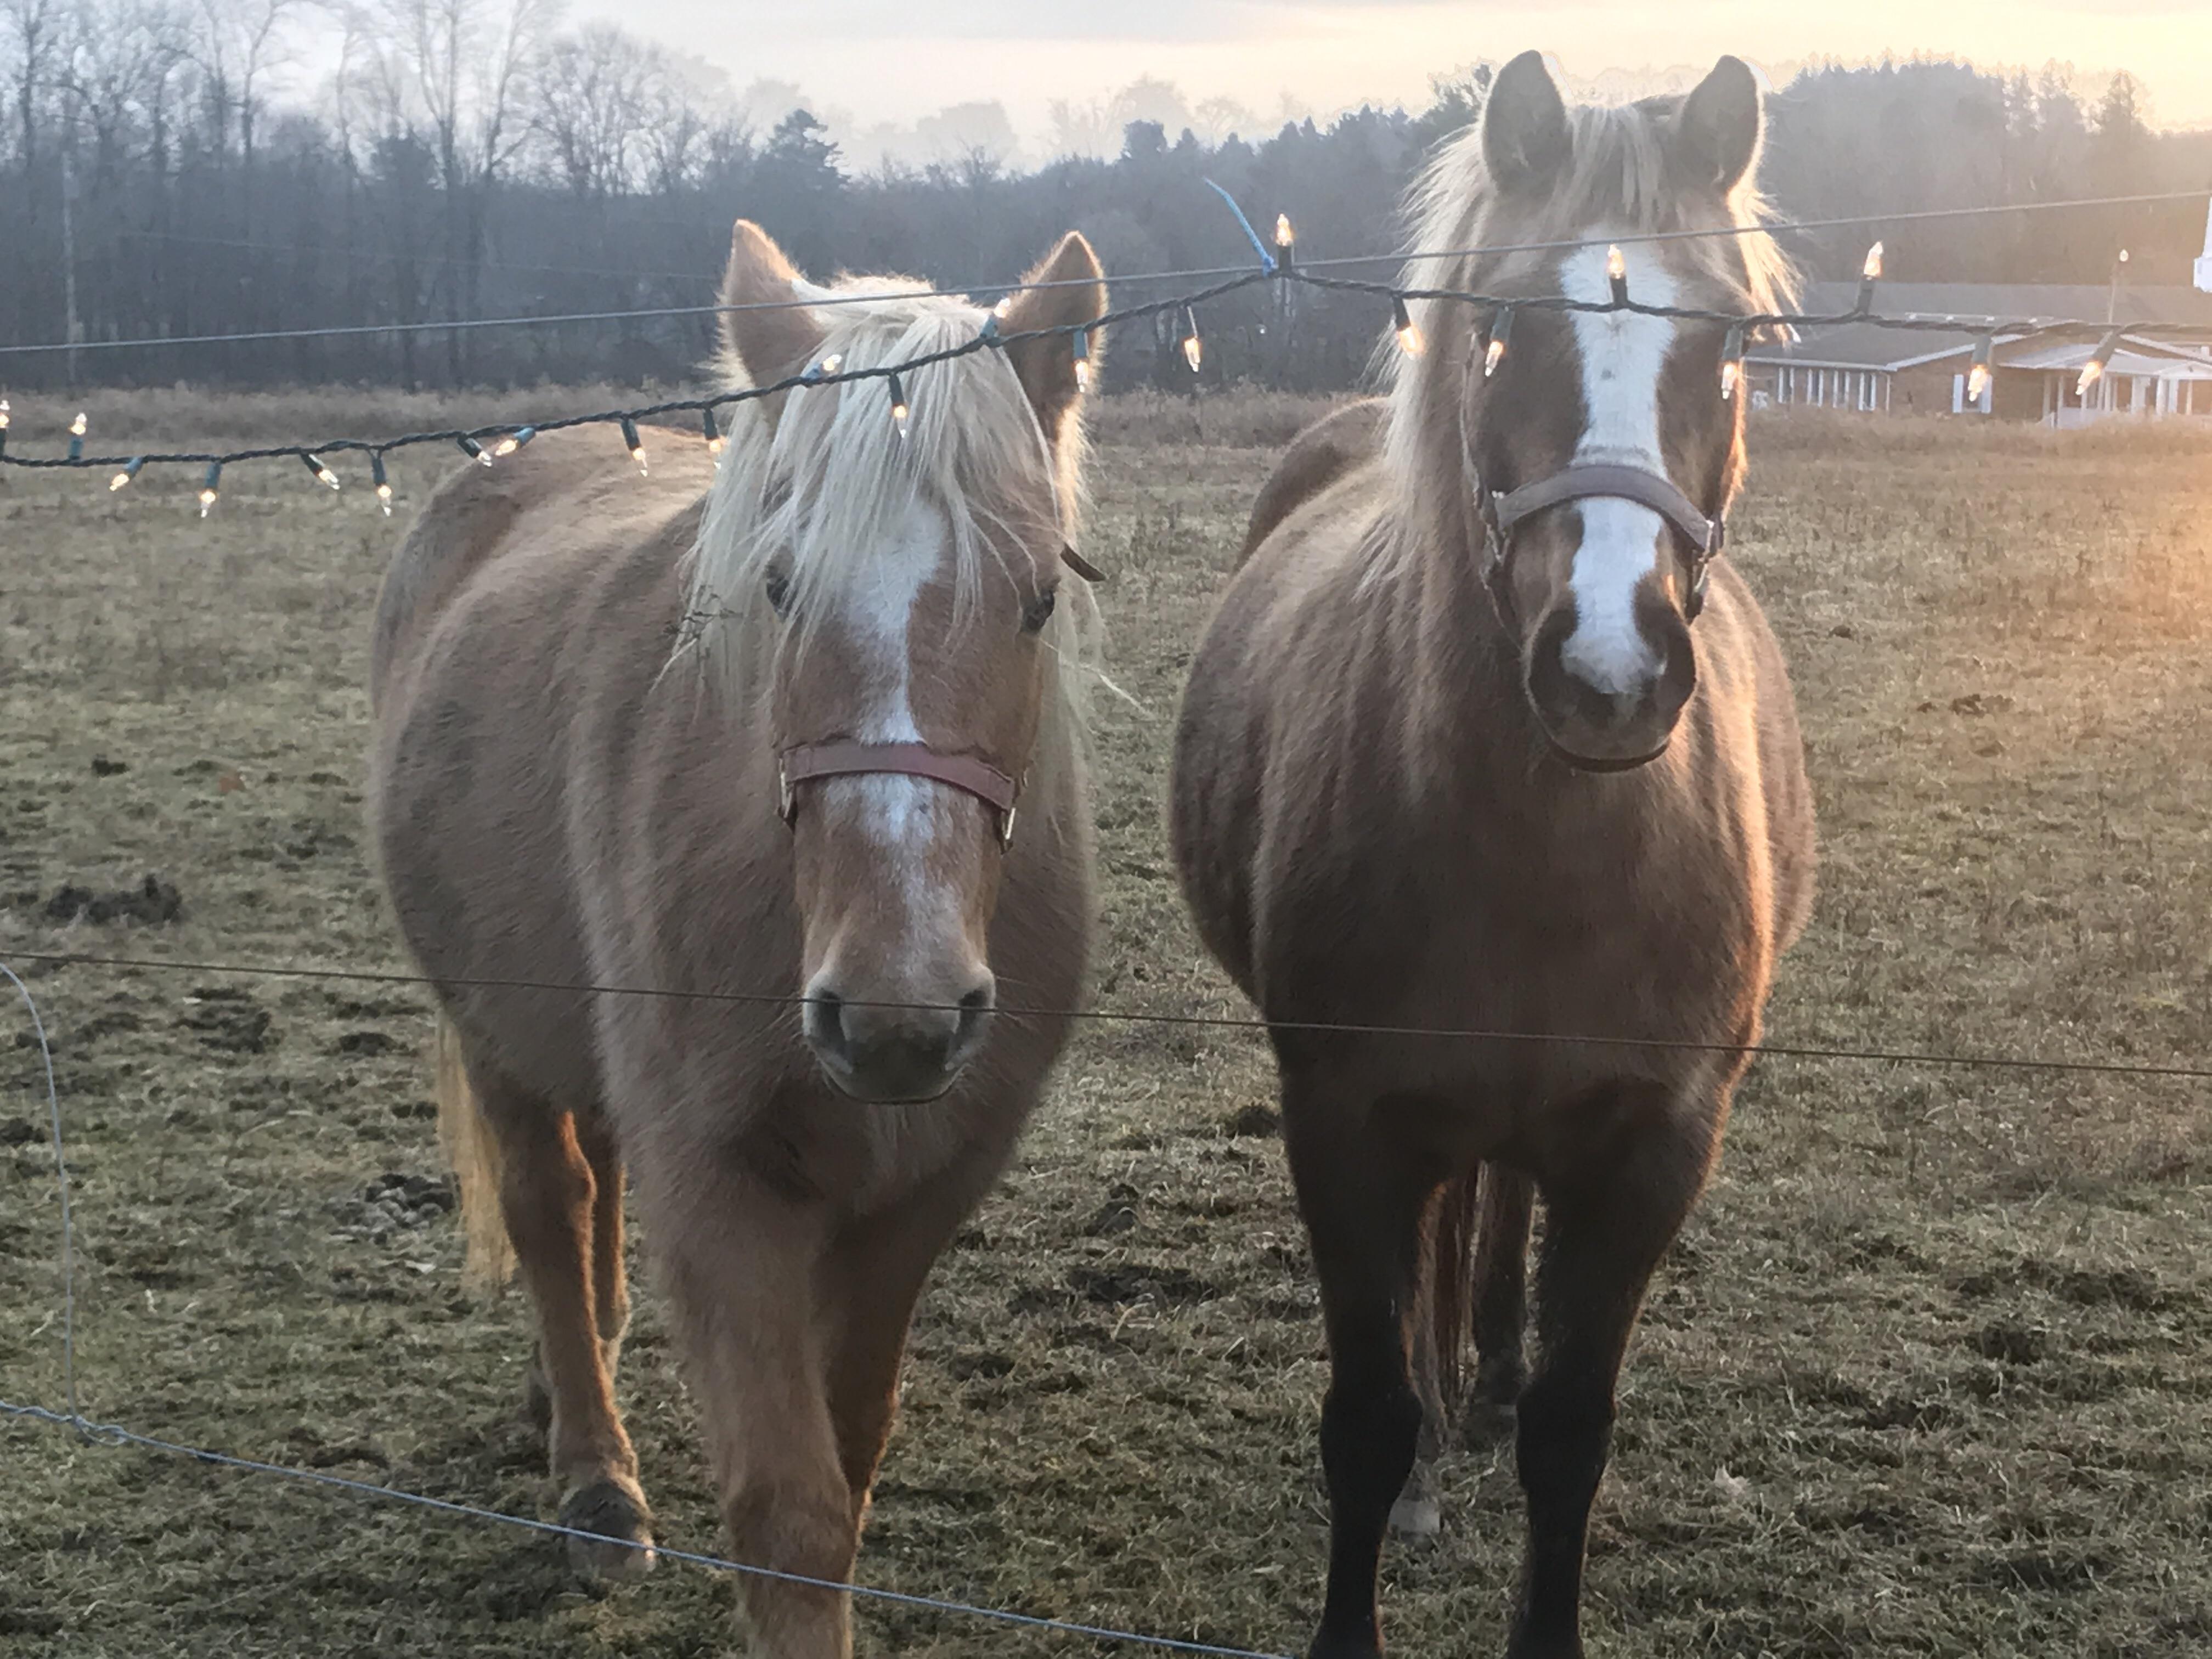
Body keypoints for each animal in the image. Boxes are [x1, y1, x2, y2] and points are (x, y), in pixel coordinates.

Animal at [369, 220, 1107, 1658]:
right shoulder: (721, 1187)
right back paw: (596, 1479)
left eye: (1039, 599)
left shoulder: (922, 1192)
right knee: (550, 1204)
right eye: (779, 586)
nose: (895, 1013)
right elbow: (790, 1516)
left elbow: (853, 1449)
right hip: (493, 1028)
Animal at [1168, 53, 1815, 1659]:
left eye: (1726, 340)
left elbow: (1573, 1438)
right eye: (1504, 328)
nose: (1608, 672)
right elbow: (1365, 1413)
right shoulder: (1344, 1120)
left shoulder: (1656, 1144)